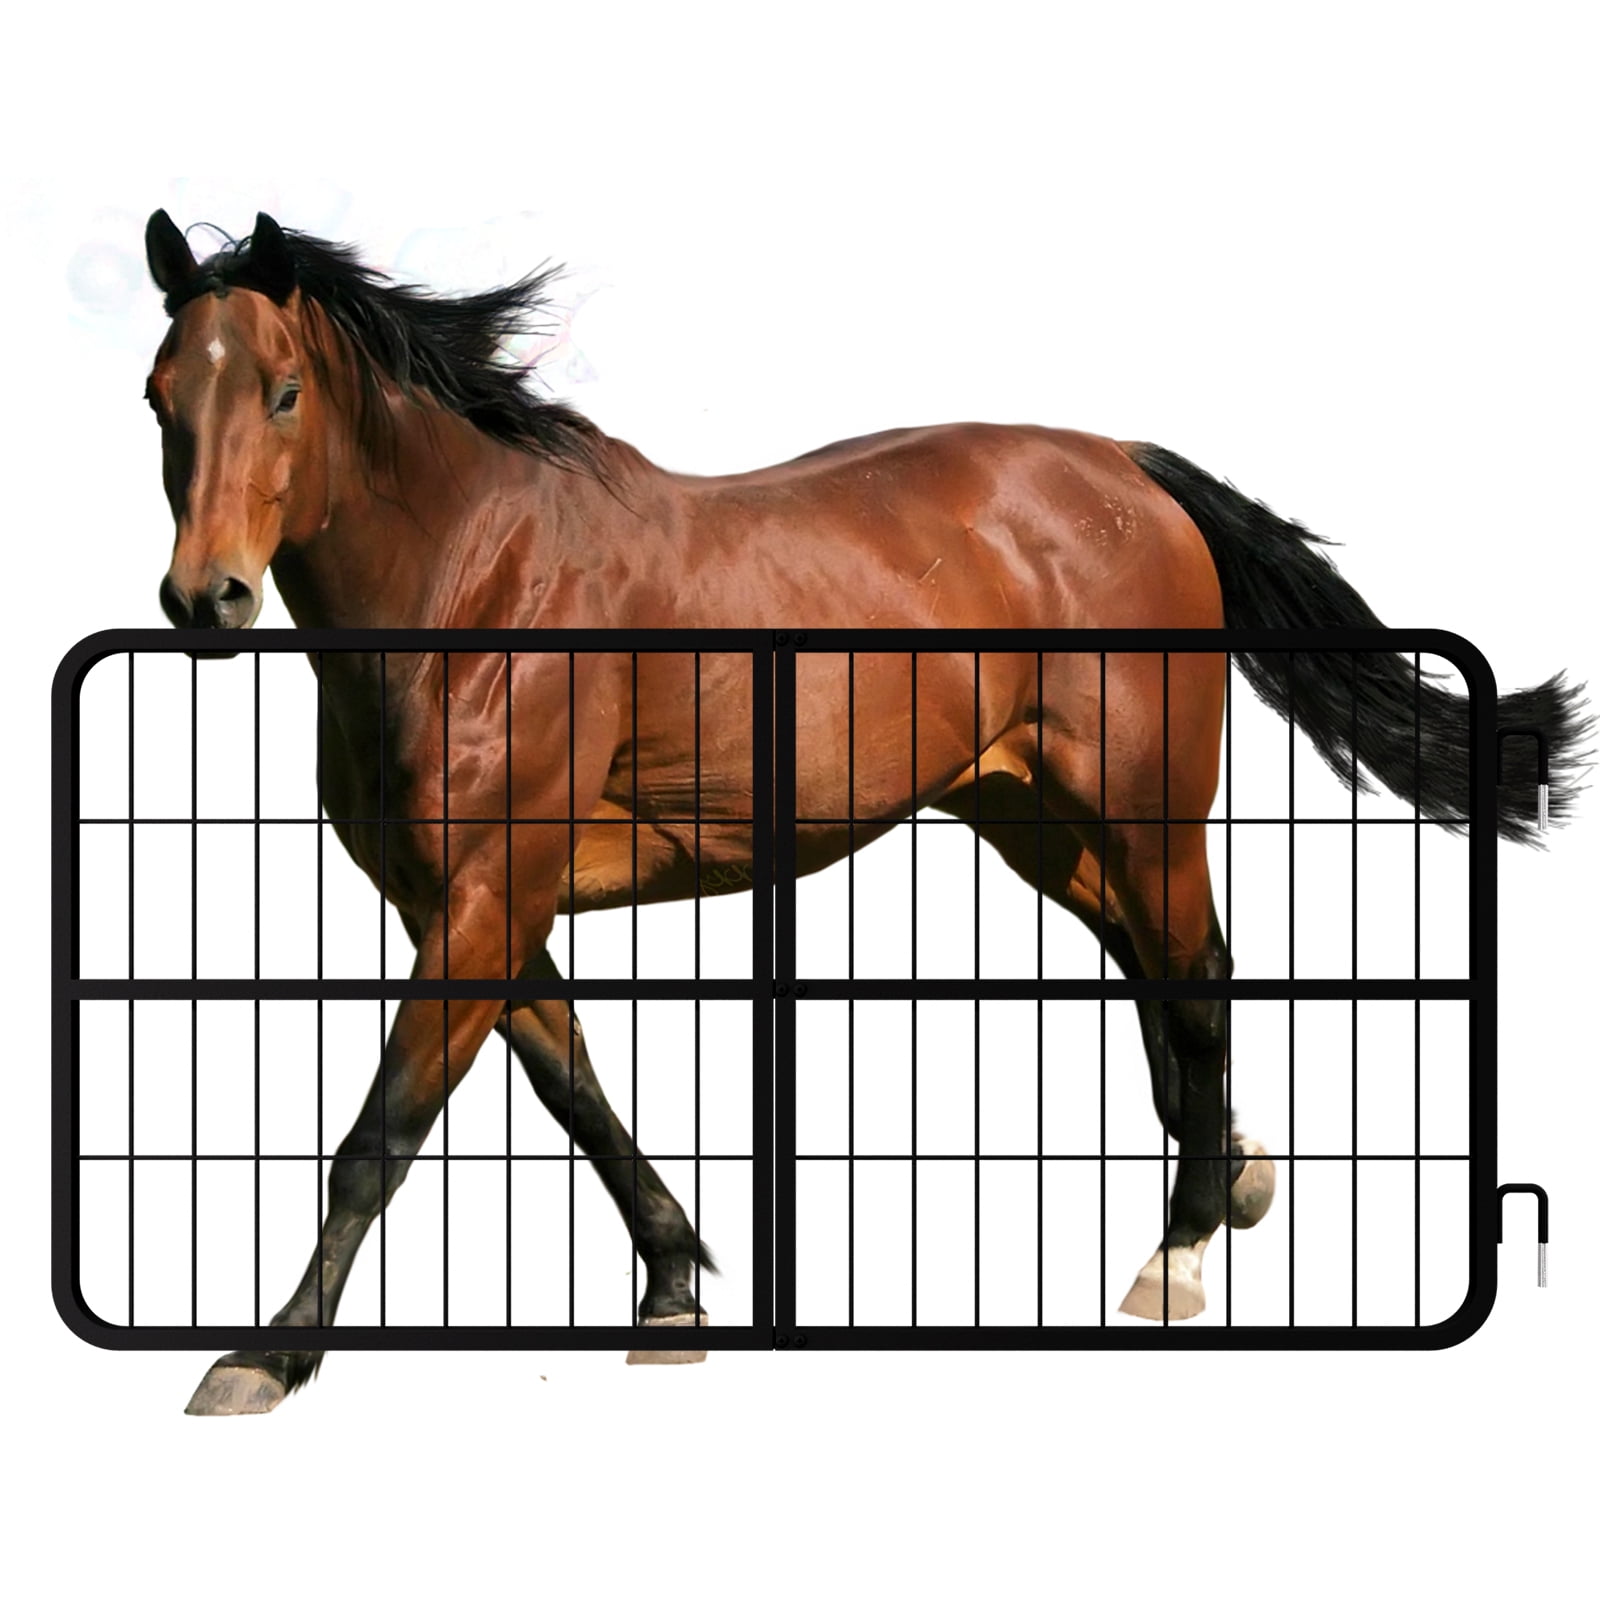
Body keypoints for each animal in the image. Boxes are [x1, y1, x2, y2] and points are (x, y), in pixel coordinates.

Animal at [140, 209, 1587, 1413]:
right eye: (160, 397)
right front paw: (674, 1288)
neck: (481, 586)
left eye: (282, 389)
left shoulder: (493, 893)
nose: (205, 599)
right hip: (1031, 819)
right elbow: (575, 1089)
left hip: (1143, 809)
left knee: (1195, 980)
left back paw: (1176, 1254)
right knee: (1160, 970)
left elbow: (380, 1133)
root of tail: (1127, 470)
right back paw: (1231, 1177)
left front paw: (261, 1357)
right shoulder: (471, 903)